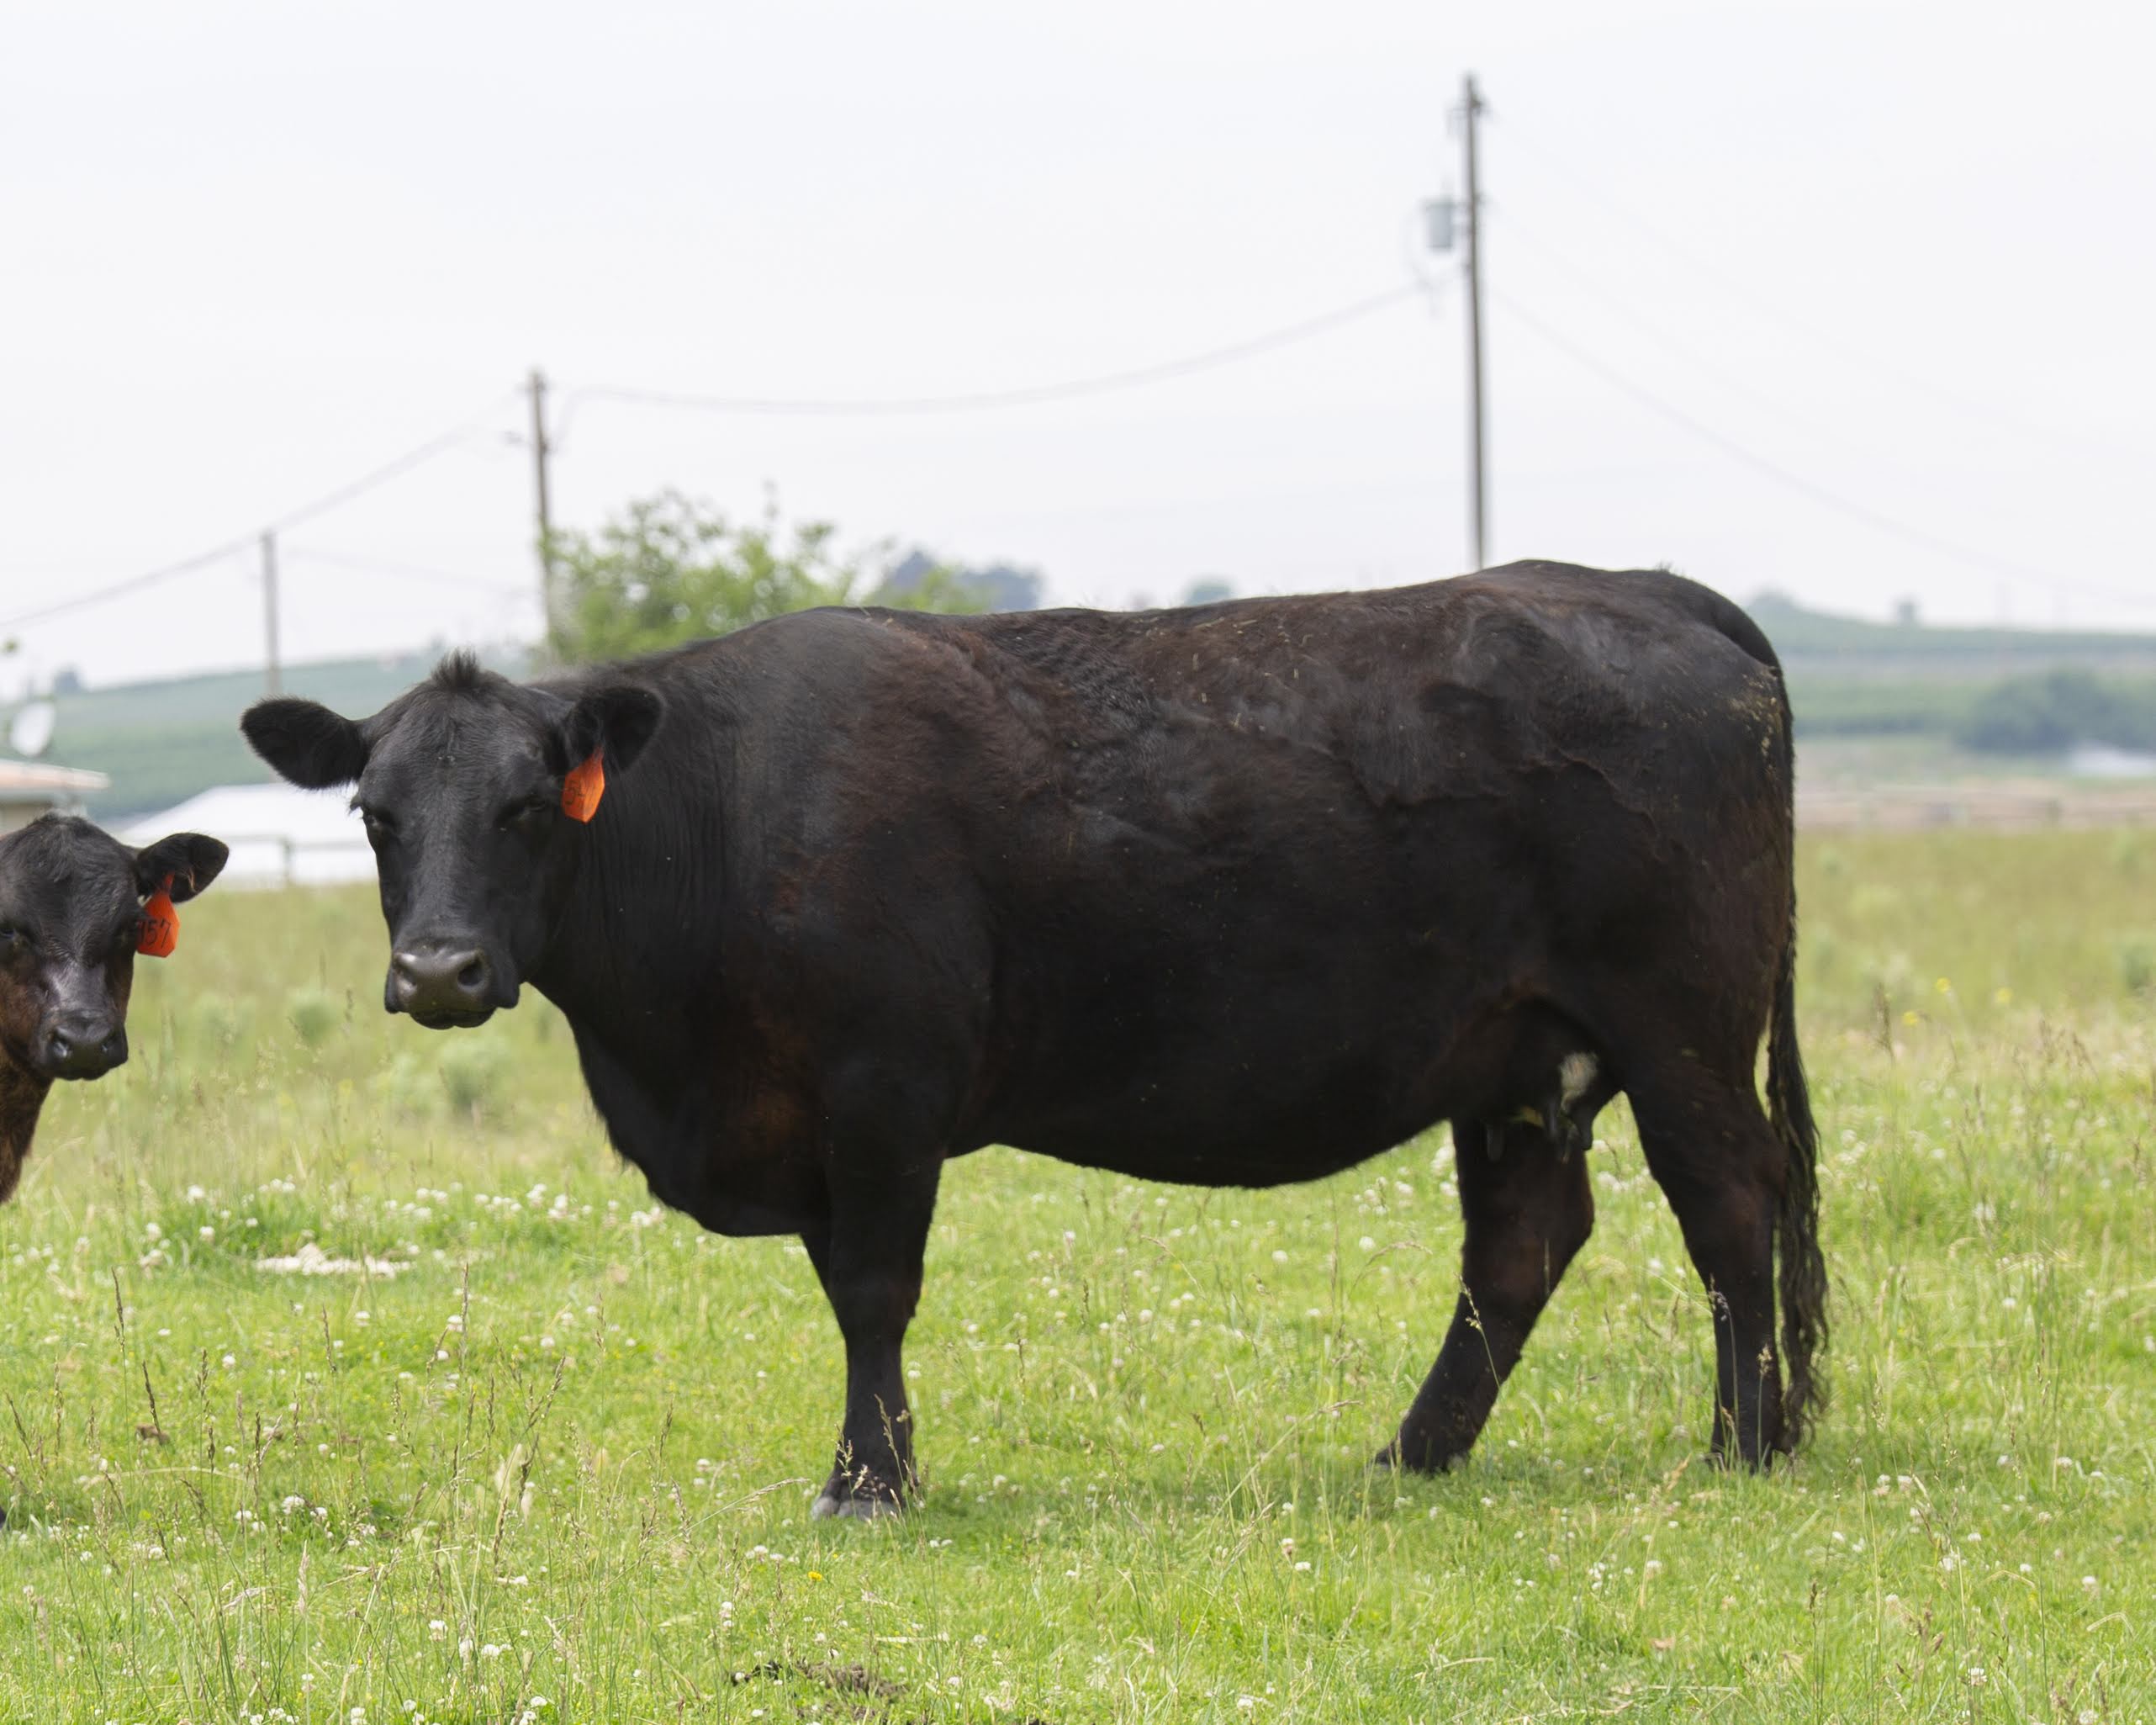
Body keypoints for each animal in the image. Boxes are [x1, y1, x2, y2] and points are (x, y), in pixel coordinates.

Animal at [240, 561, 1825, 1517]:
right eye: (374, 814)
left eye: (526, 805)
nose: (439, 969)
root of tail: (1633, 584)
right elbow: (844, 1291)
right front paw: (875, 1464)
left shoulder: (883, 1089)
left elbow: (873, 1292)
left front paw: (869, 1482)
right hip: (1514, 1055)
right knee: (1522, 1243)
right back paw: (1407, 1455)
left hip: (1681, 1025)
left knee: (1730, 1205)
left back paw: (1744, 1441)